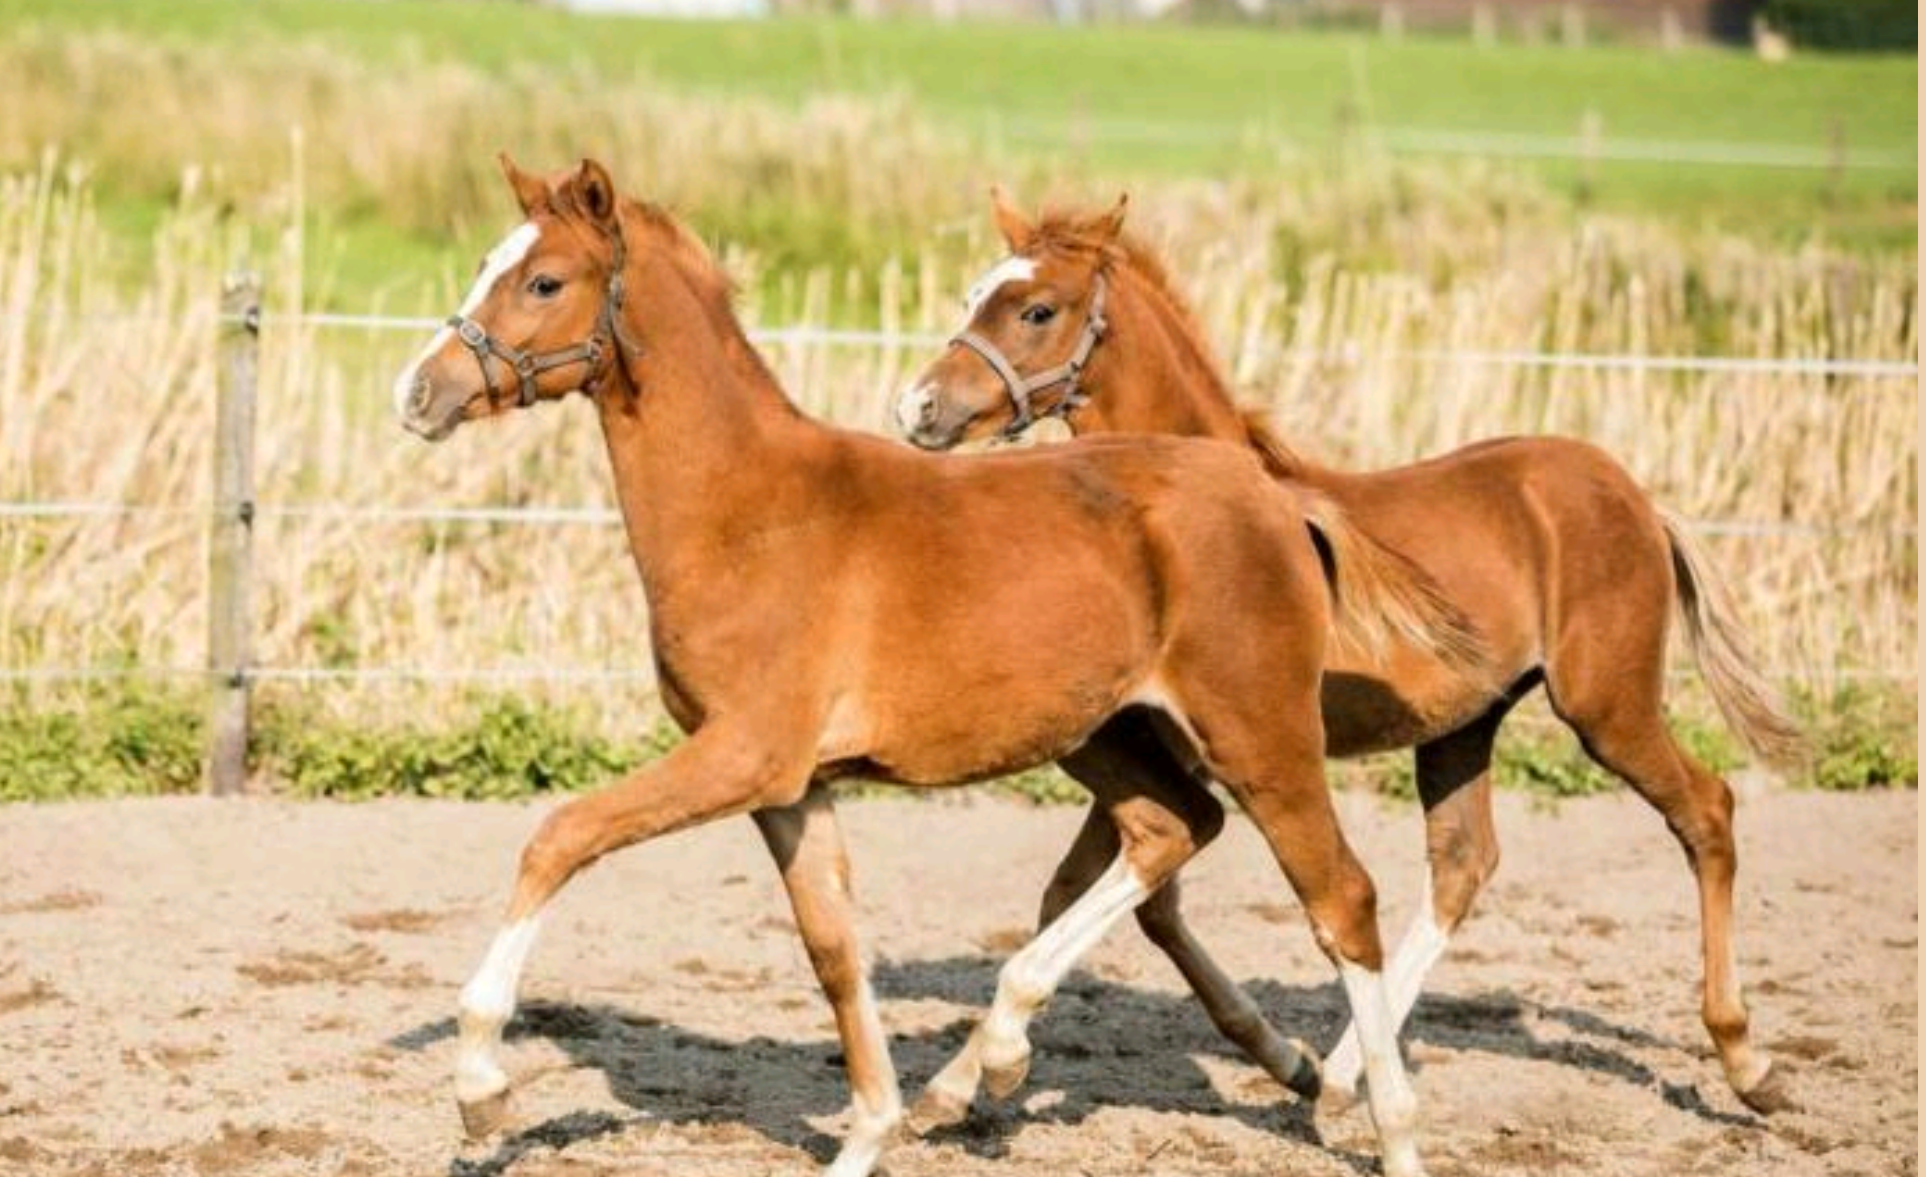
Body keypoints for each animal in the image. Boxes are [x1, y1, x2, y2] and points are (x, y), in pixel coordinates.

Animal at [393, 155, 1481, 1177]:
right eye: (493, 264)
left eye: (543, 280)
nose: (418, 392)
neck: (749, 510)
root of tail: (1275, 494)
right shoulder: (792, 787)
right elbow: (834, 950)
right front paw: (872, 1131)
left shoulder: (743, 752)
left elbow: (559, 836)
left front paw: (480, 1083)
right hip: (1105, 733)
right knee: (1173, 830)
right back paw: (1008, 1057)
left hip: (1262, 736)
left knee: (1341, 898)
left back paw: (1378, 1120)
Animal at [894, 191, 1804, 1118]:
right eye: (974, 295)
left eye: (1038, 310)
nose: (918, 408)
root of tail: (1635, 495)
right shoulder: (1169, 739)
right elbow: (1095, 892)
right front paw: (960, 1081)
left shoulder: (1206, 743)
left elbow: (1142, 891)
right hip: (1464, 724)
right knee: (1463, 864)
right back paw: (1340, 1076)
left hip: (1606, 704)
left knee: (1707, 809)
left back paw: (1747, 1061)